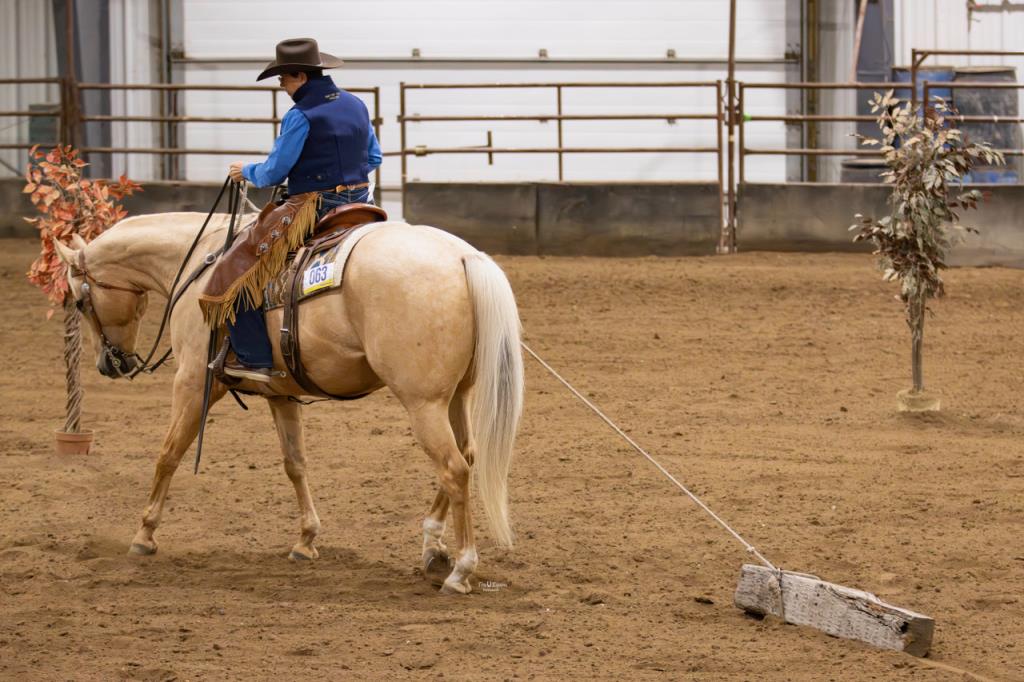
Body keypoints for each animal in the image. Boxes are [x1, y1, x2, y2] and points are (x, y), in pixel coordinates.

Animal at [52, 212, 524, 594]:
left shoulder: (191, 382)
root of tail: (462, 256)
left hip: (422, 402)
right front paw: (306, 540)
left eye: (80, 300)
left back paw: (460, 569)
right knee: (466, 456)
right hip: (455, 397)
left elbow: (168, 454)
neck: (197, 265)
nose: (110, 364)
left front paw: (144, 534)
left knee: (453, 468)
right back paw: (432, 547)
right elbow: (295, 463)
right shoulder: (281, 395)